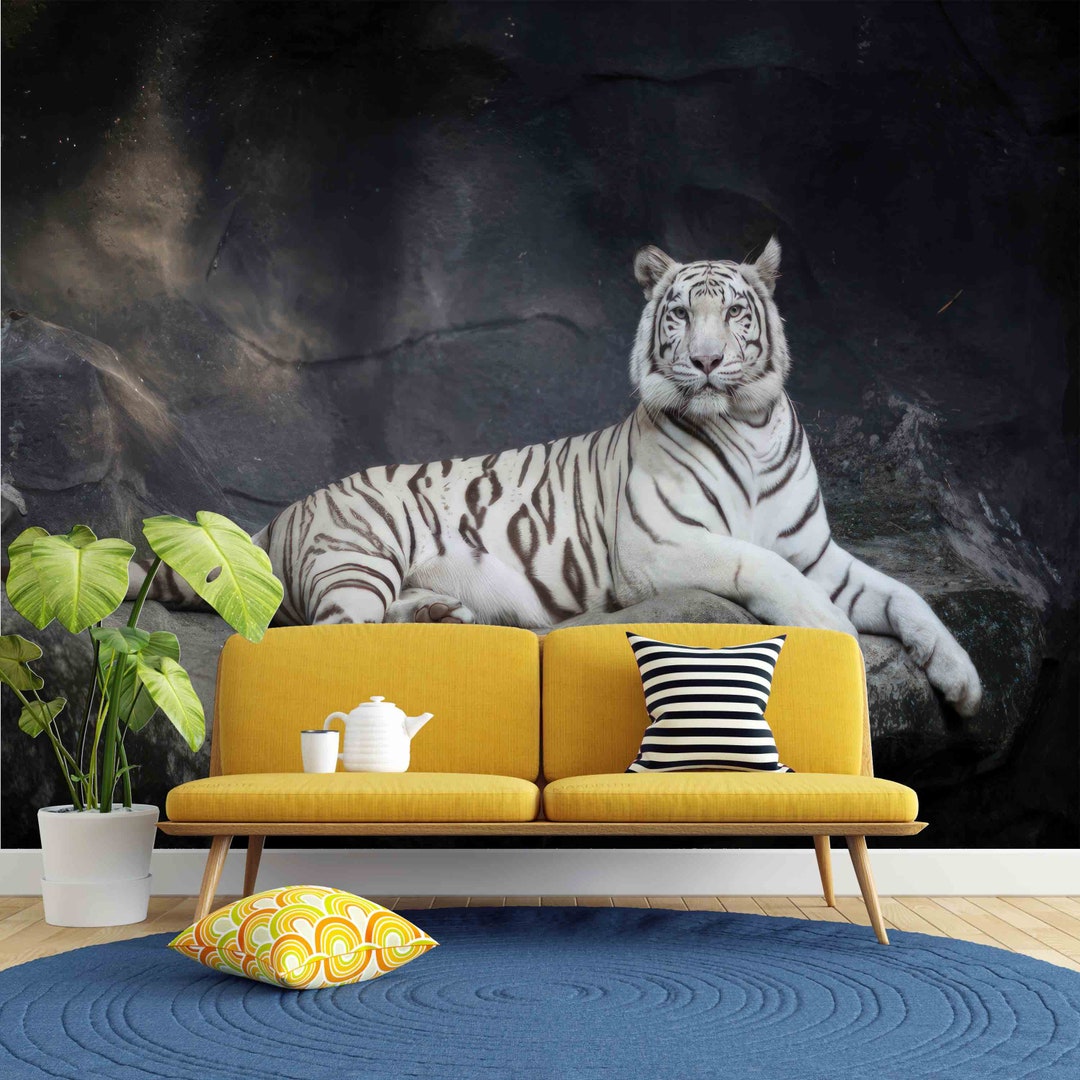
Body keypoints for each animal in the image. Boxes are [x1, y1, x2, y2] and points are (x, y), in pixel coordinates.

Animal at [146, 237, 982, 715]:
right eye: (680, 314)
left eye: (736, 315)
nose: (708, 361)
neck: (746, 424)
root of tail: (276, 516)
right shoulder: (661, 548)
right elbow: (766, 569)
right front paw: (836, 634)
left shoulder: (816, 550)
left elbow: (902, 597)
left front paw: (963, 680)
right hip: (356, 556)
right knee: (332, 639)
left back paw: (444, 615)